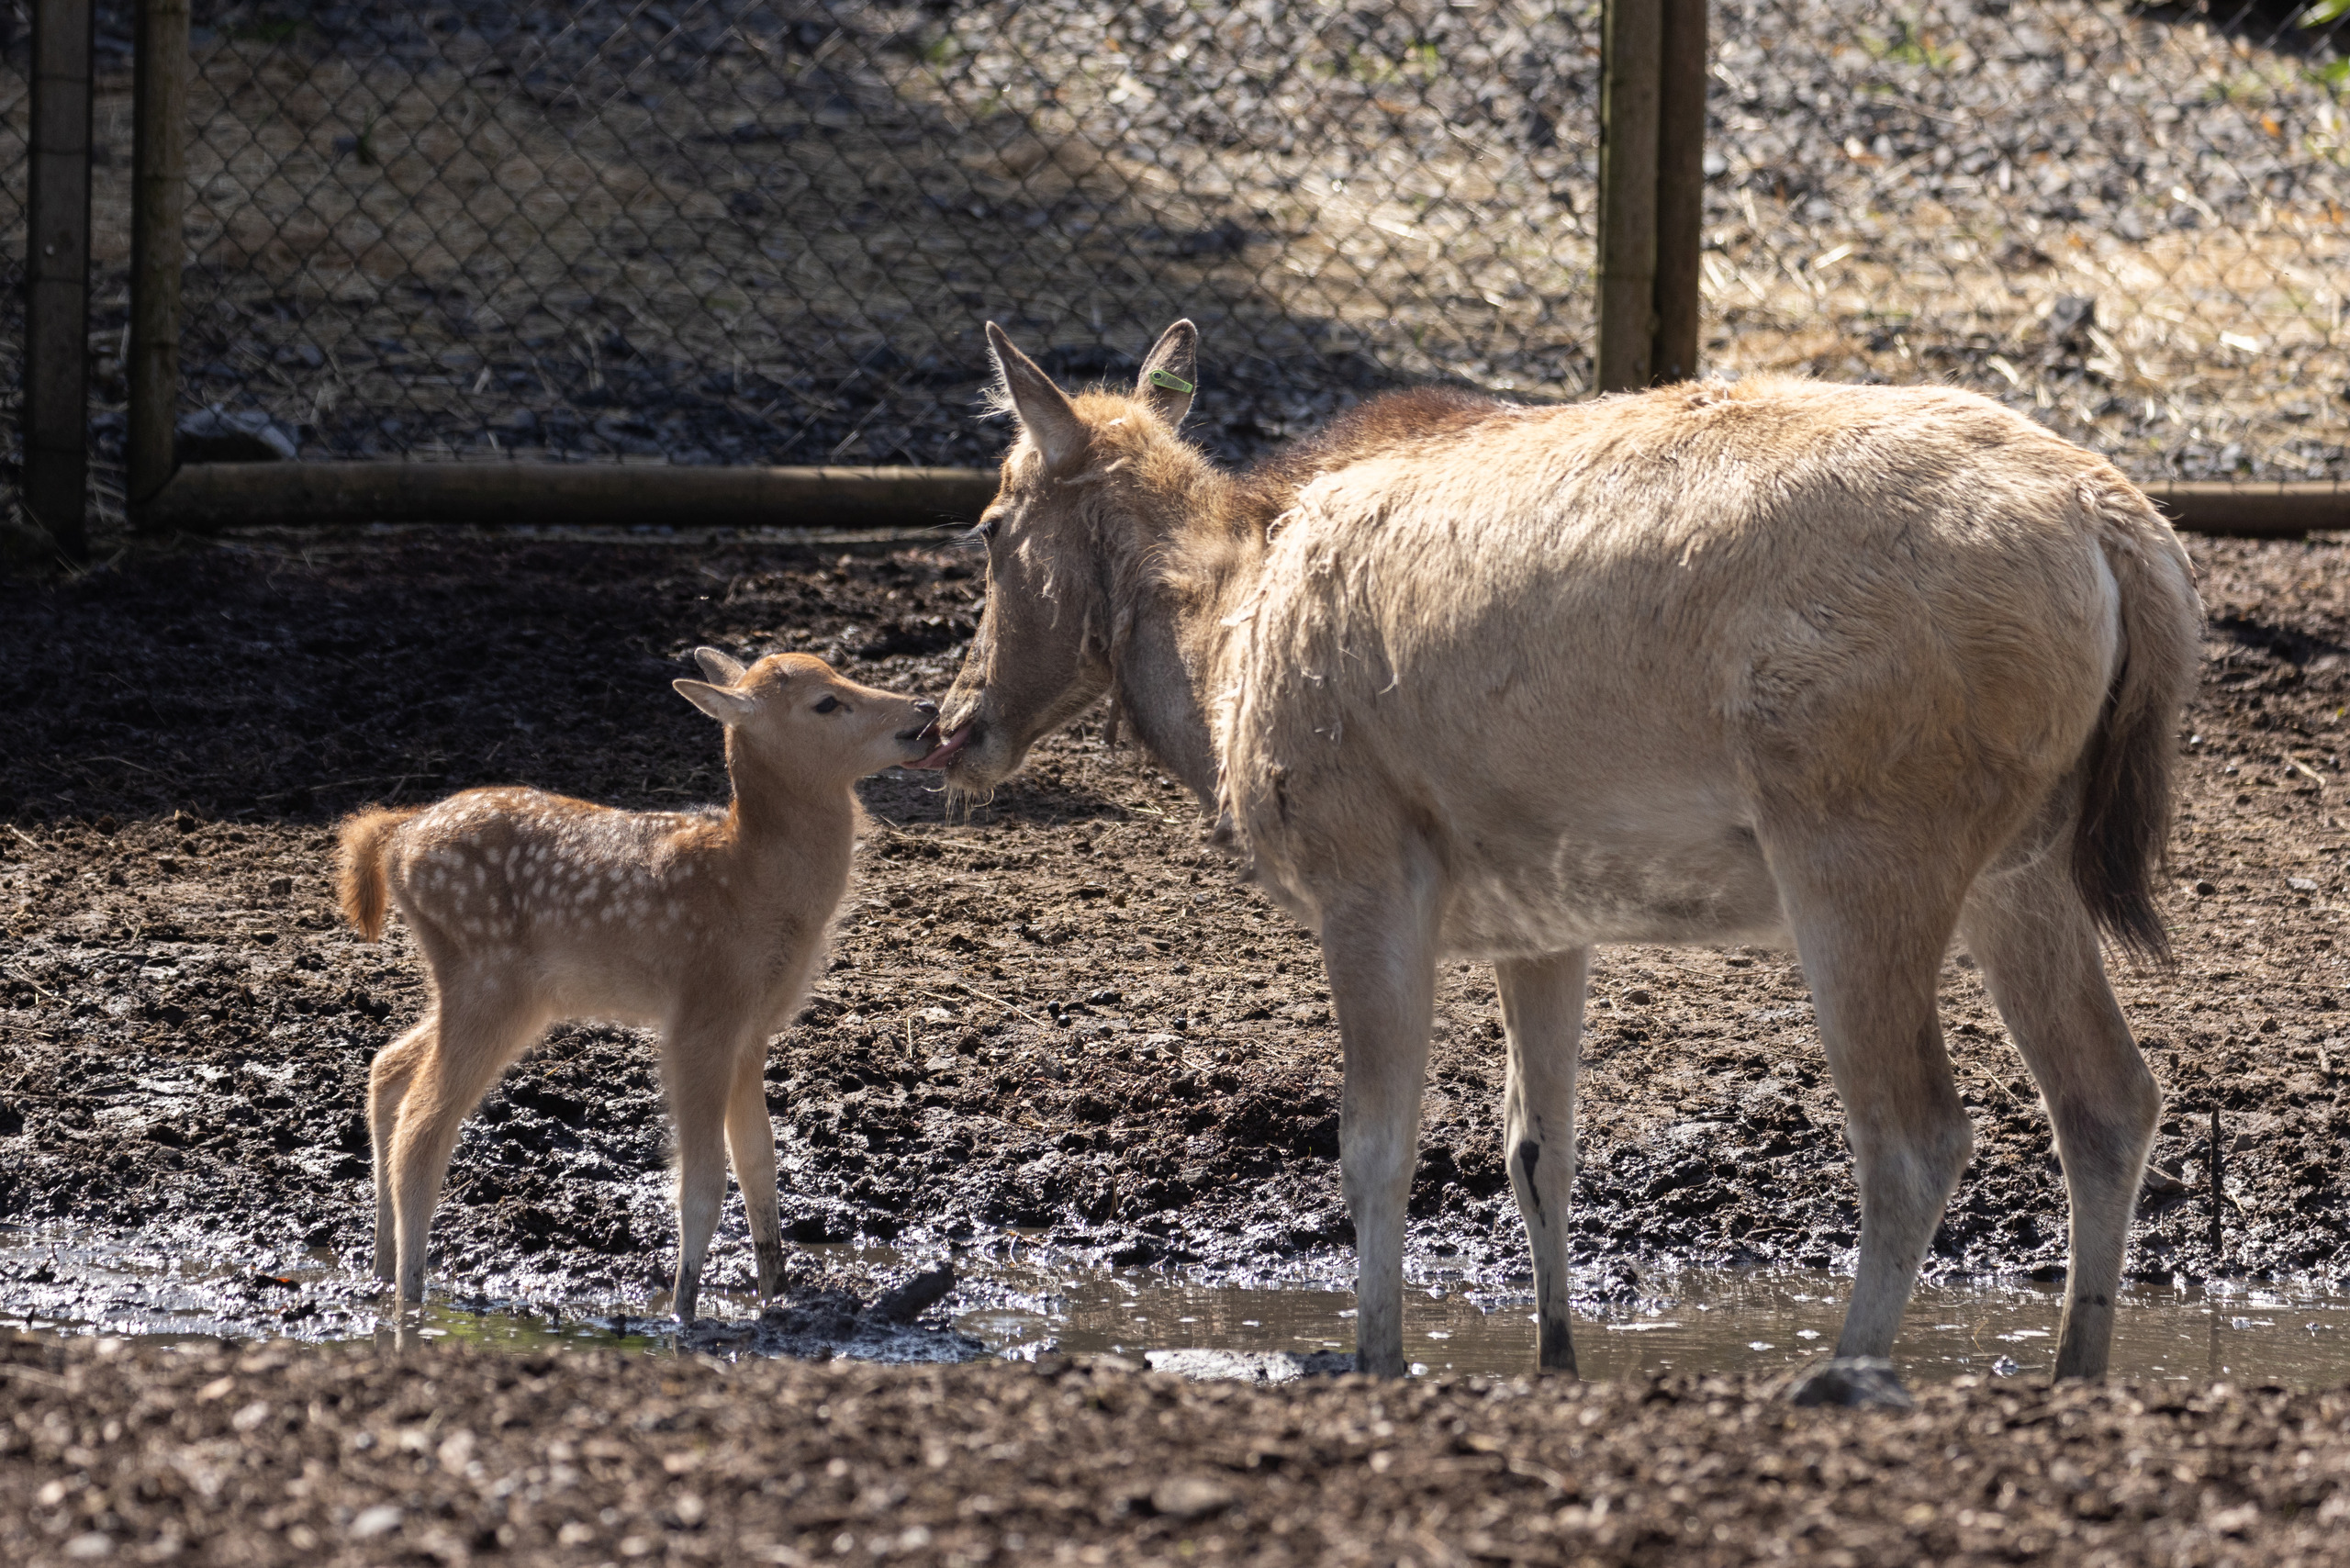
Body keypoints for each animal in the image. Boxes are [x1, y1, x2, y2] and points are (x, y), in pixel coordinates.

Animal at [336, 650, 940, 1321]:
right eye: (826, 702)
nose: (926, 708)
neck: (751, 880)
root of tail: (398, 838)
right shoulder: (700, 1015)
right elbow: (702, 1181)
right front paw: (683, 1310)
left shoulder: (752, 1024)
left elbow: (759, 1161)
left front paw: (776, 1293)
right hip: (489, 977)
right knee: (423, 1122)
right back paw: (410, 1298)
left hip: (492, 989)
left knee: (388, 1068)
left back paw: (382, 1271)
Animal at [914, 318, 2202, 1405]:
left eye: (986, 525)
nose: (951, 721)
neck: (1220, 660)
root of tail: (2123, 531)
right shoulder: (1541, 917)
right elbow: (1537, 1148)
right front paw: (1553, 1354)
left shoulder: (1364, 867)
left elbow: (1373, 1142)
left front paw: (1373, 1352)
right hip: (2021, 867)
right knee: (2108, 1097)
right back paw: (2074, 1368)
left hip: (1862, 841)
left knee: (1918, 1129)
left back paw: (1843, 1370)